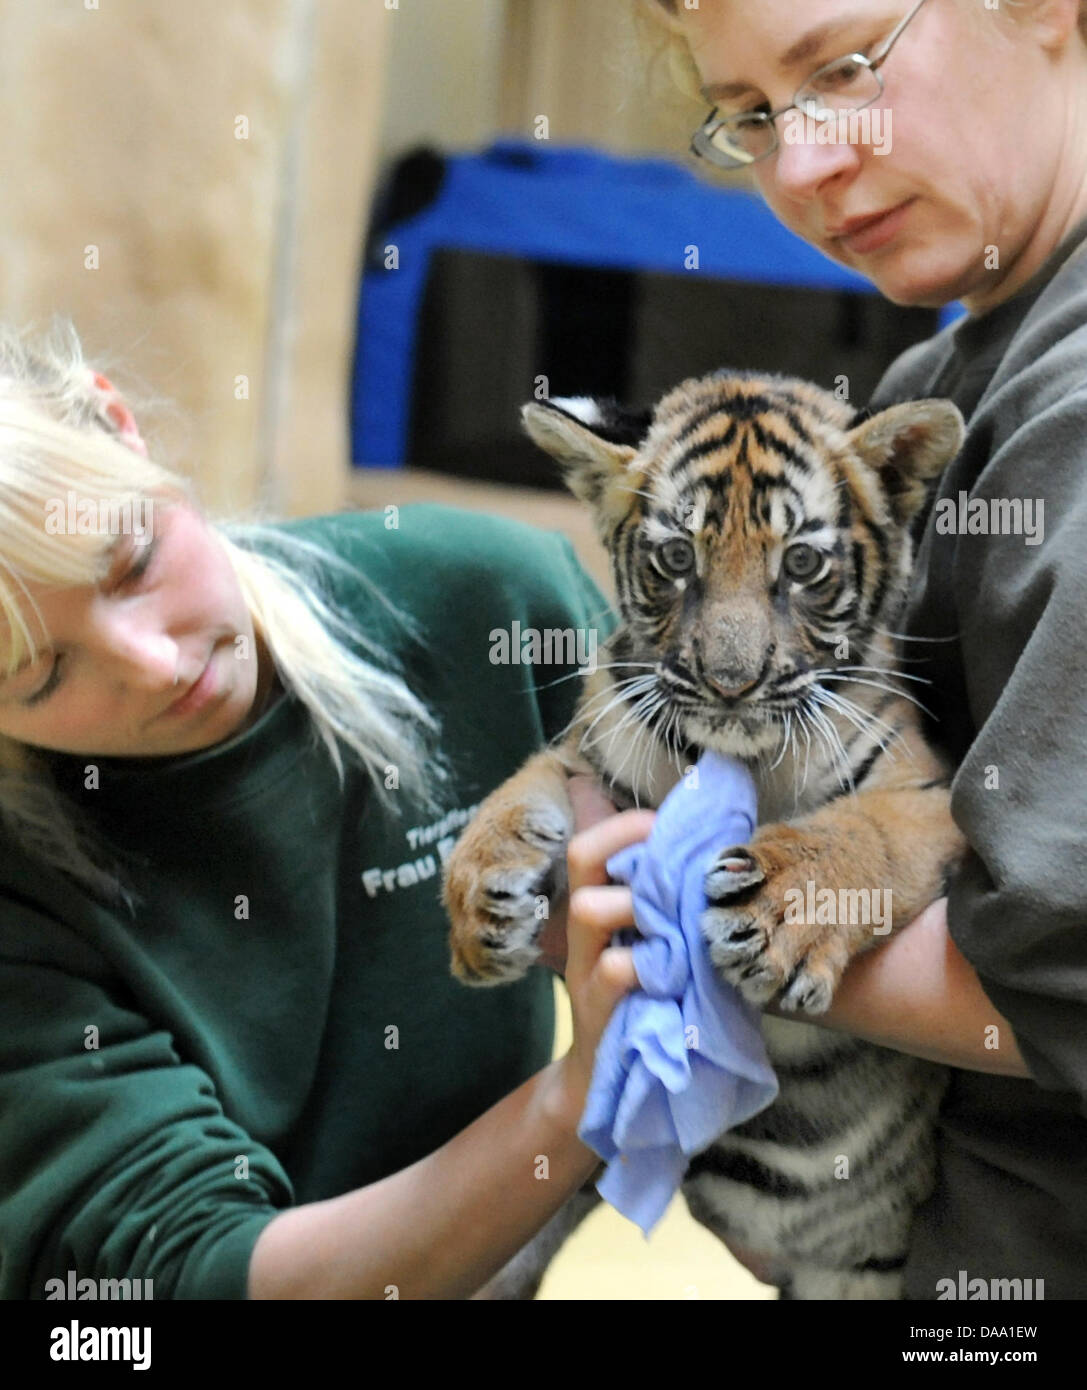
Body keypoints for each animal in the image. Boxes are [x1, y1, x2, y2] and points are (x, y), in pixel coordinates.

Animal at [441, 368, 968, 1300]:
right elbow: (527, 780)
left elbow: (860, 833)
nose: (731, 683)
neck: (738, 753)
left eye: (801, 563)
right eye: (676, 558)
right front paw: (480, 904)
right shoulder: (589, 750)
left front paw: (780, 913)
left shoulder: (924, 792)